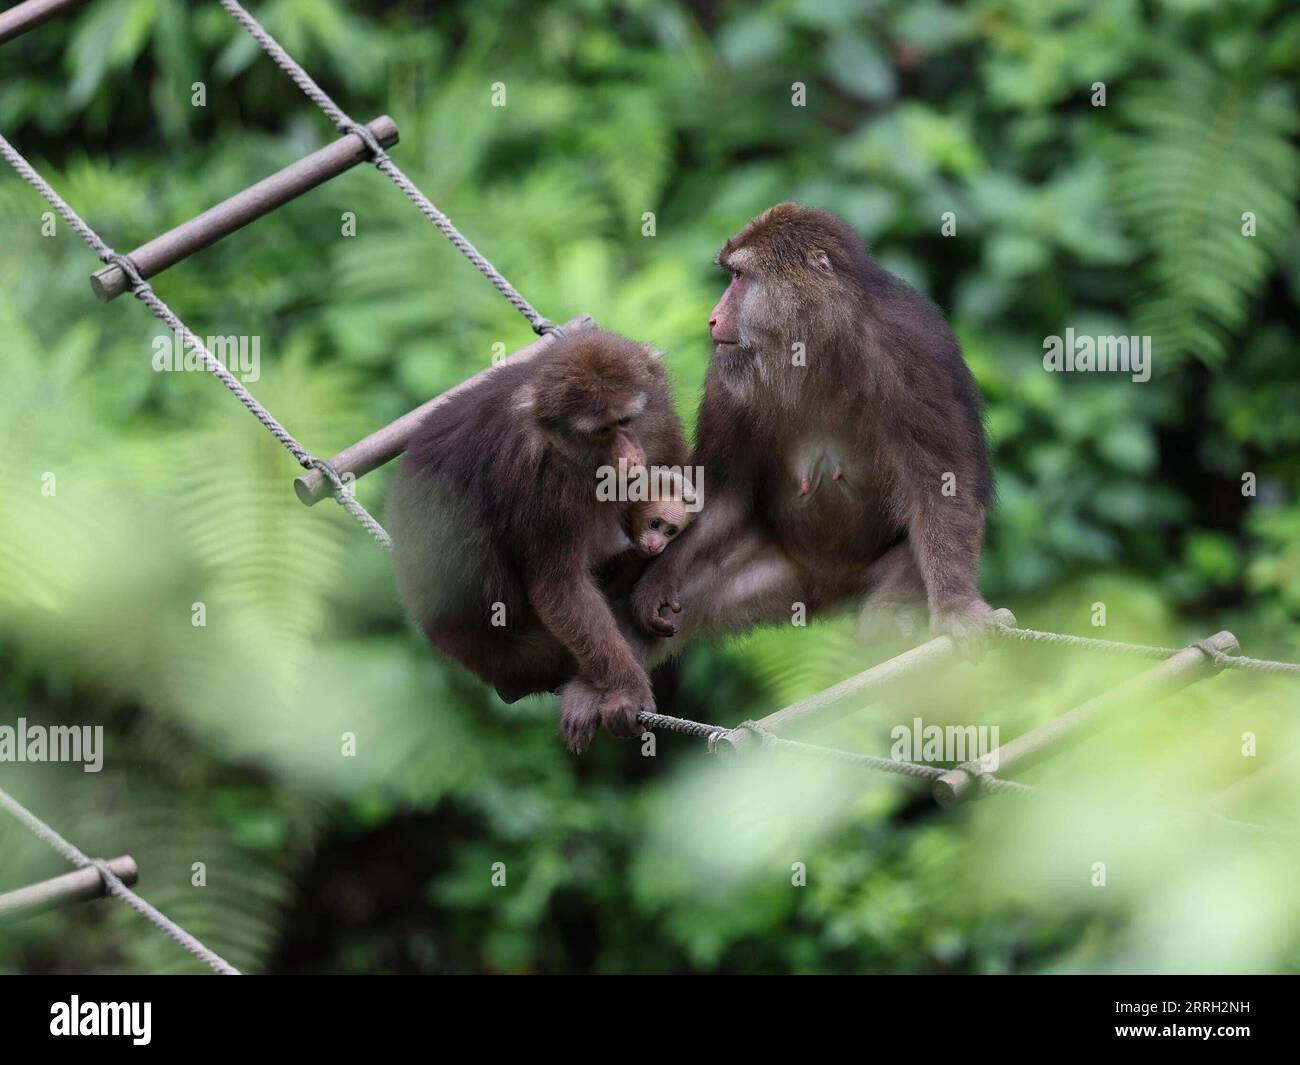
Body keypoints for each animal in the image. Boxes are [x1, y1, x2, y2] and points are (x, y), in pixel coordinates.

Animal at [388, 328, 689, 752]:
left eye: (627, 420)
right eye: (600, 431)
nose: (629, 461)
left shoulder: (661, 425)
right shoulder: (540, 479)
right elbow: (559, 586)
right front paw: (626, 688)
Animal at [618, 201, 994, 673]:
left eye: (738, 276)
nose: (713, 317)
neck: (816, 346)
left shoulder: (917, 353)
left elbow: (943, 488)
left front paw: (958, 607)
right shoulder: (728, 374)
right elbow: (720, 494)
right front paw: (657, 581)